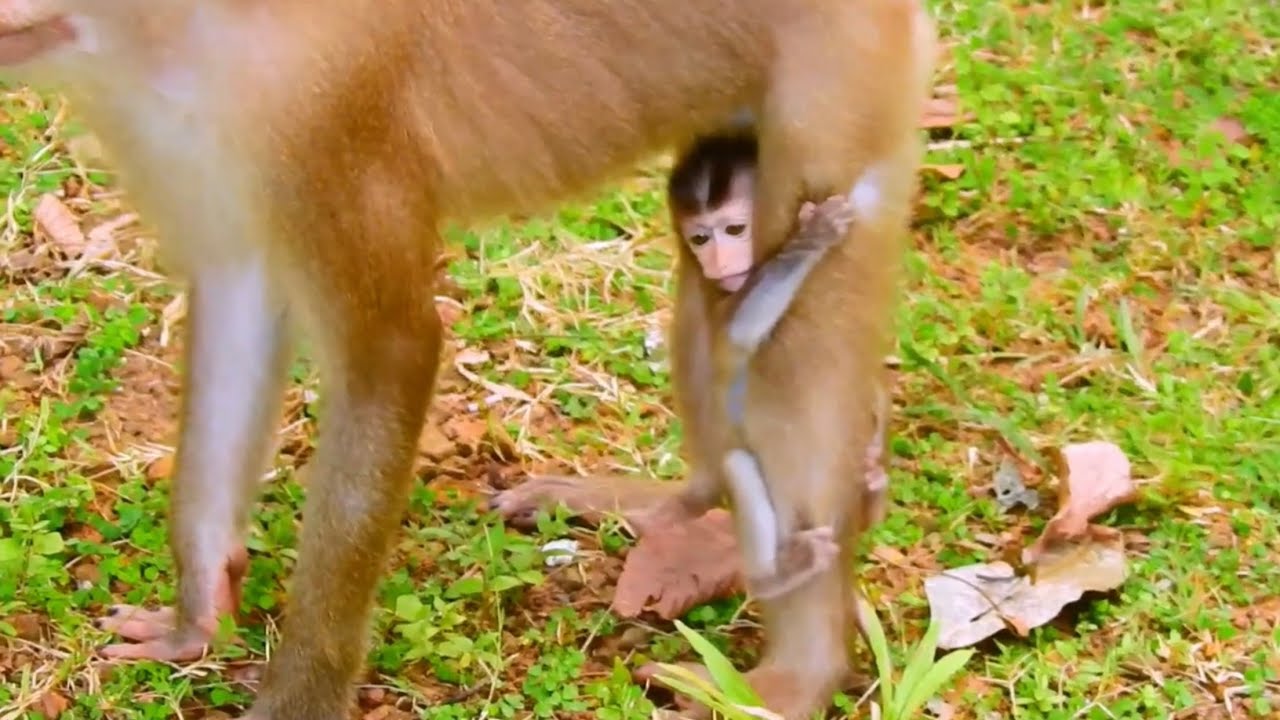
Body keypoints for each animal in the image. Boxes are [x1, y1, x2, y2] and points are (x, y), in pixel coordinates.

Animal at [0, 2, 937, 719]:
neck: (156, 33)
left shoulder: (320, 112)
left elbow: (394, 350)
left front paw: (297, 697)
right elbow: (238, 289)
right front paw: (195, 616)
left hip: (840, 72)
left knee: (790, 326)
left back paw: (802, 673)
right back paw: (682, 503)